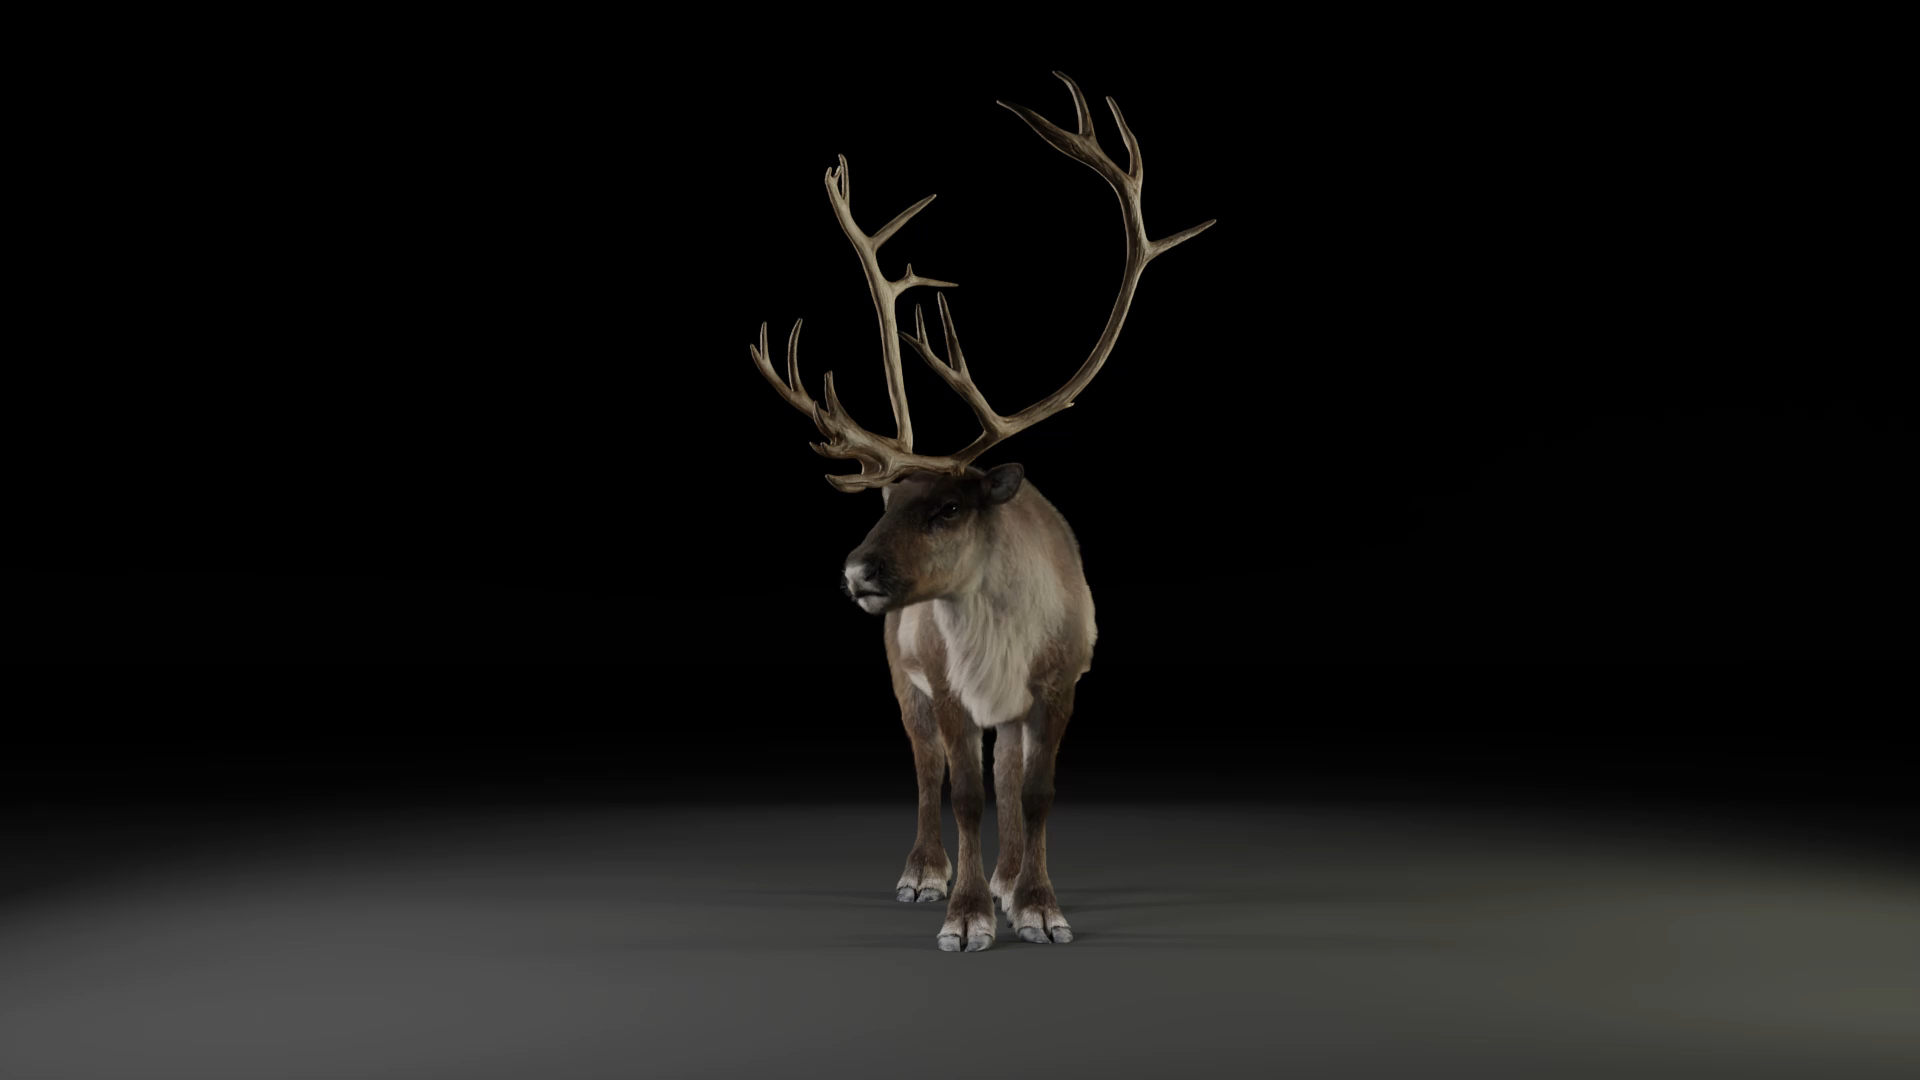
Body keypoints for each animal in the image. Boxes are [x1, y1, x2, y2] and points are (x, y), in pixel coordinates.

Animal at [747, 72, 1214, 952]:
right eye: (889, 497)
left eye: (949, 507)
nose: (856, 571)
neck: (1003, 637)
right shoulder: (947, 684)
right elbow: (962, 793)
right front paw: (963, 916)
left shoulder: (1060, 683)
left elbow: (1031, 793)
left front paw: (1036, 905)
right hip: (904, 675)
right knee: (930, 770)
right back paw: (929, 873)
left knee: (1006, 774)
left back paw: (1005, 878)